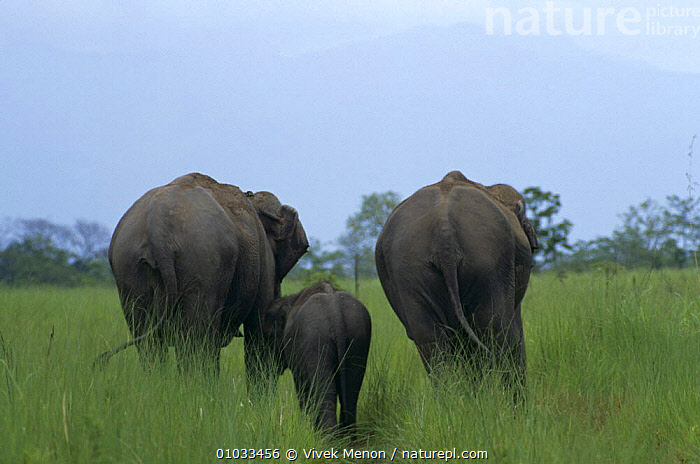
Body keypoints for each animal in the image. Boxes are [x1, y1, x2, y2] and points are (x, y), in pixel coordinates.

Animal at [95, 172, 309, 387]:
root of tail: (157, 228)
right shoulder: (264, 259)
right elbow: (258, 329)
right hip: (203, 263)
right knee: (195, 342)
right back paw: (197, 388)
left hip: (129, 265)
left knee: (150, 340)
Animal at [262, 282, 372, 435]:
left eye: (267, 336)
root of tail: (336, 313)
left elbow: (303, 389)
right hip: (358, 337)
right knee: (351, 391)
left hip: (316, 338)